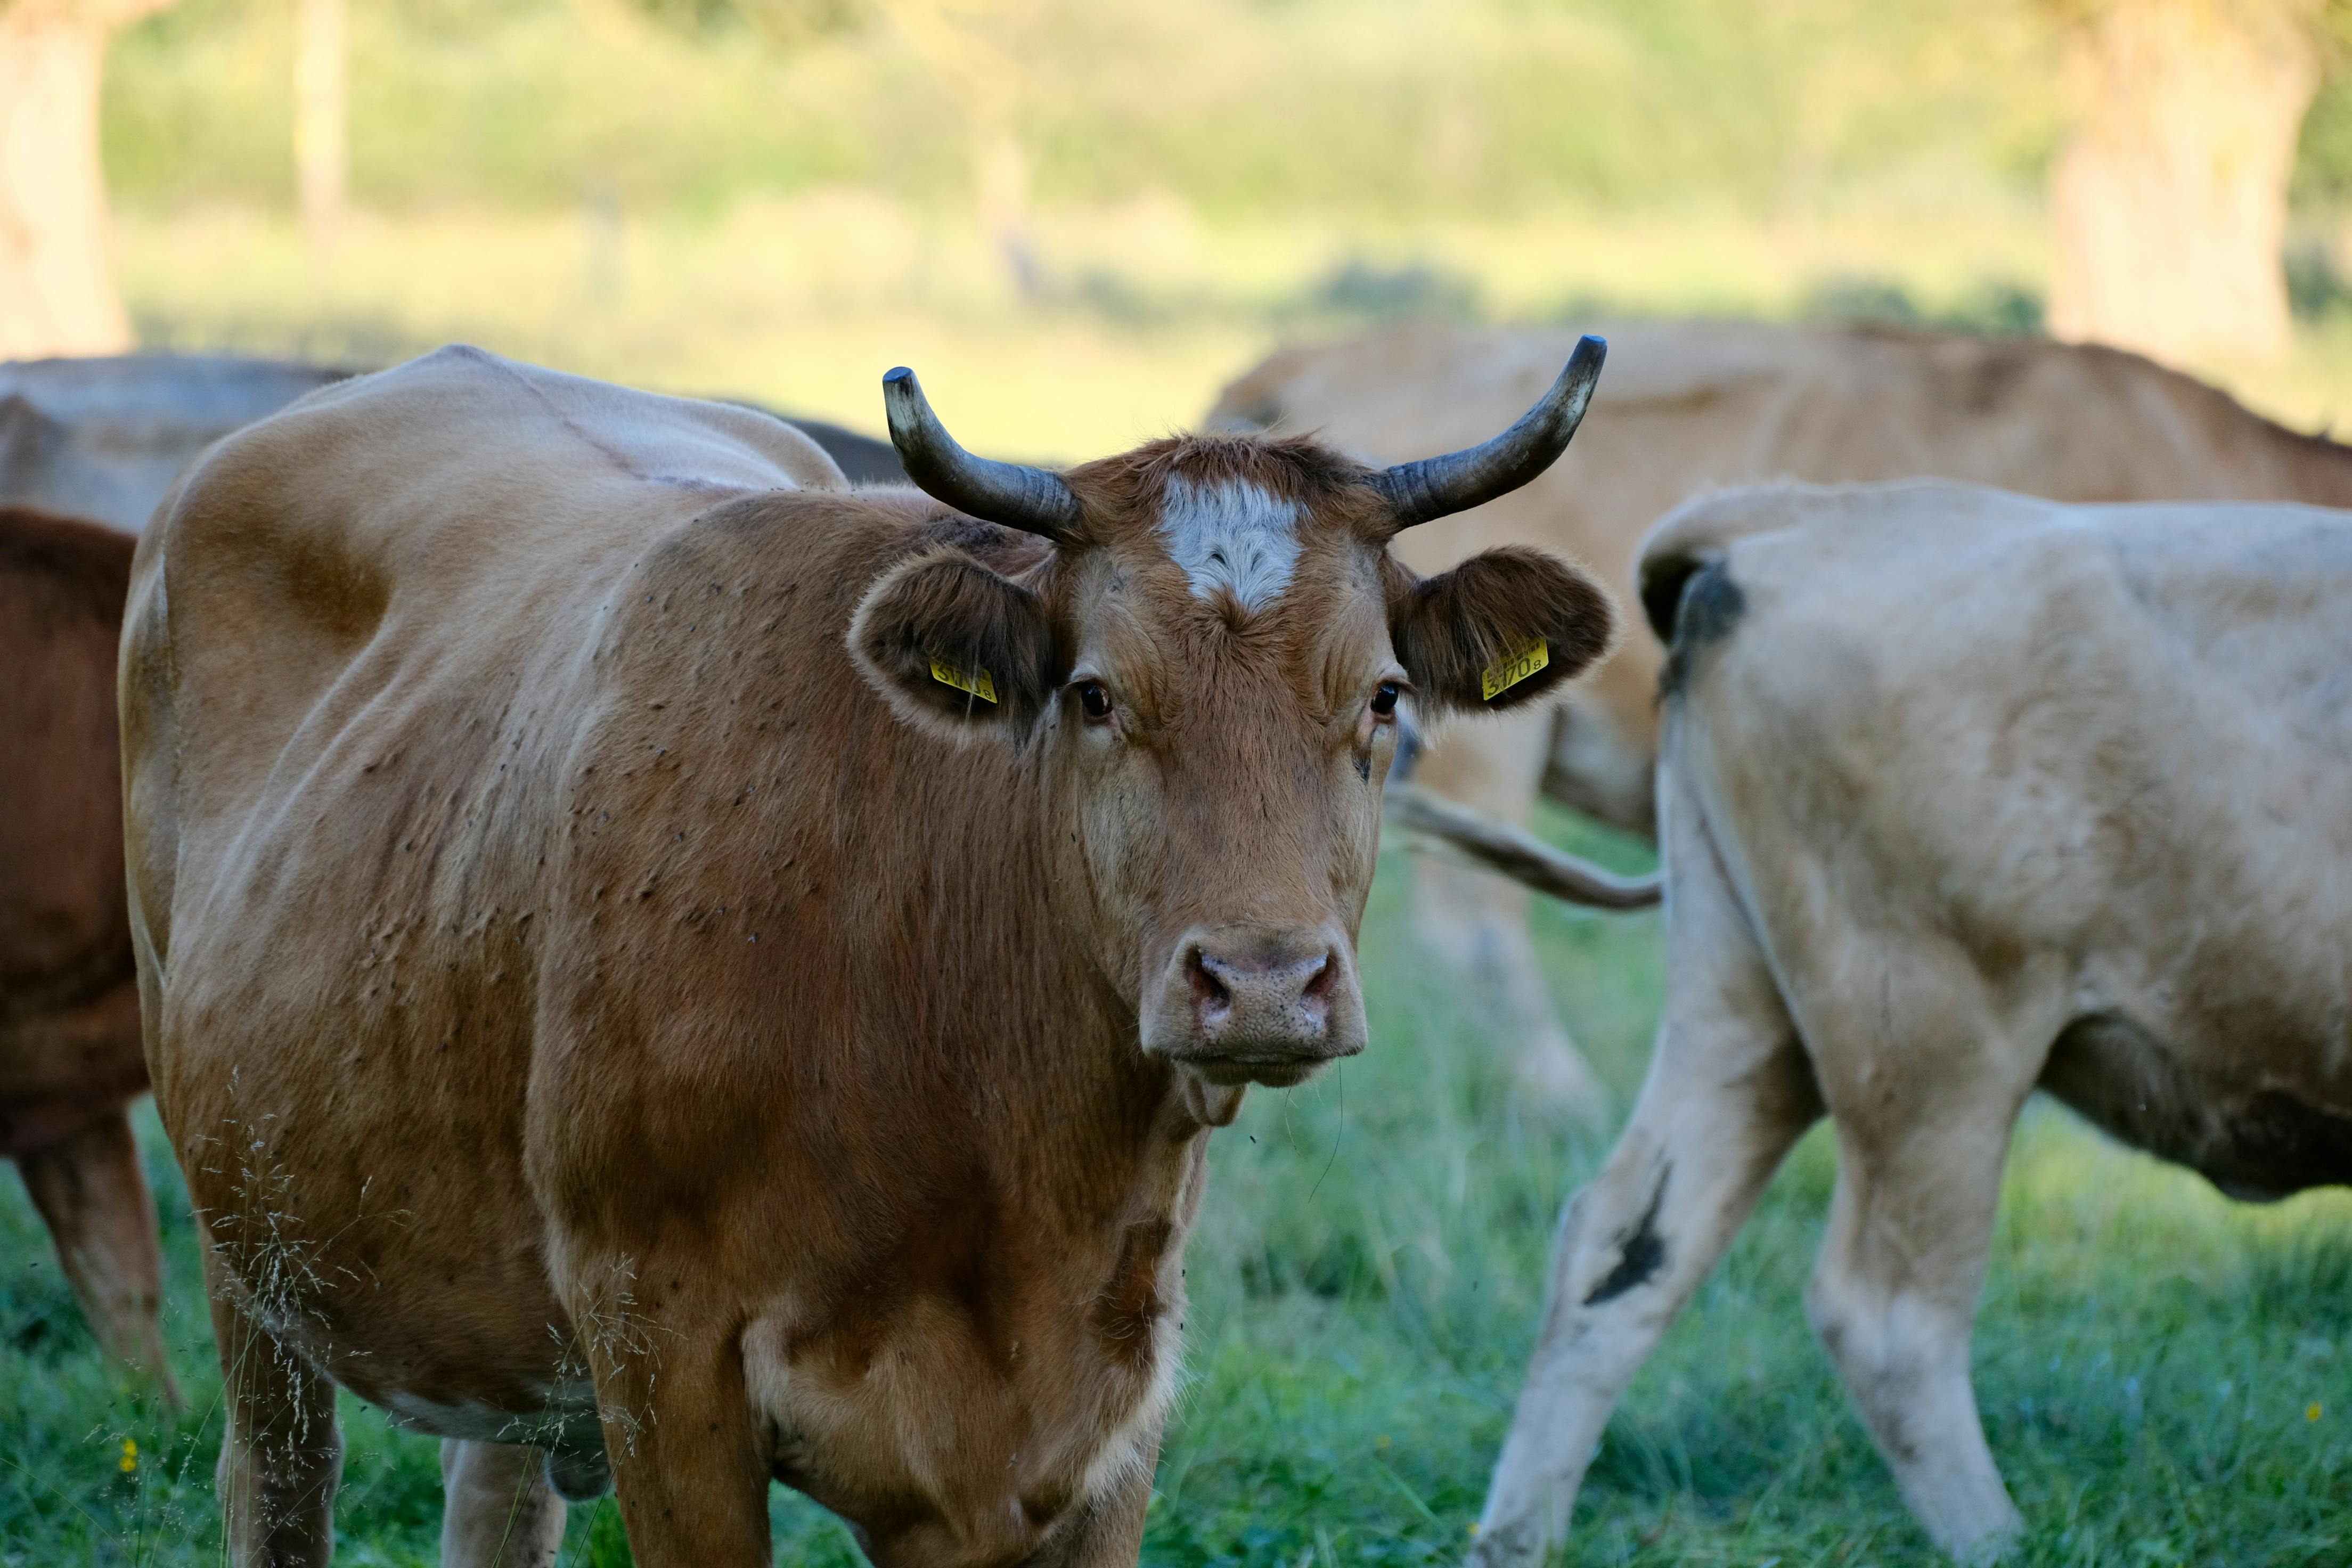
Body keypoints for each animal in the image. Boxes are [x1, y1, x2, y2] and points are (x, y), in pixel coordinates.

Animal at [120, 341, 1624, 1567]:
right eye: (1095, 694)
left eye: (1382, 696)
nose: (1261, 982)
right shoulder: (660, 1363)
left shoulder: (1107, 1409)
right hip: (252, 1253)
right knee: (278, 1482)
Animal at [1461, 479, 2352, 1565]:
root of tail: (1816, 515)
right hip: (1931, 1045)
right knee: (1886, 1315)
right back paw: (2003, 1540)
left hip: (1740, 1015)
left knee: (1621, 1248)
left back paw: (1513, 1537)